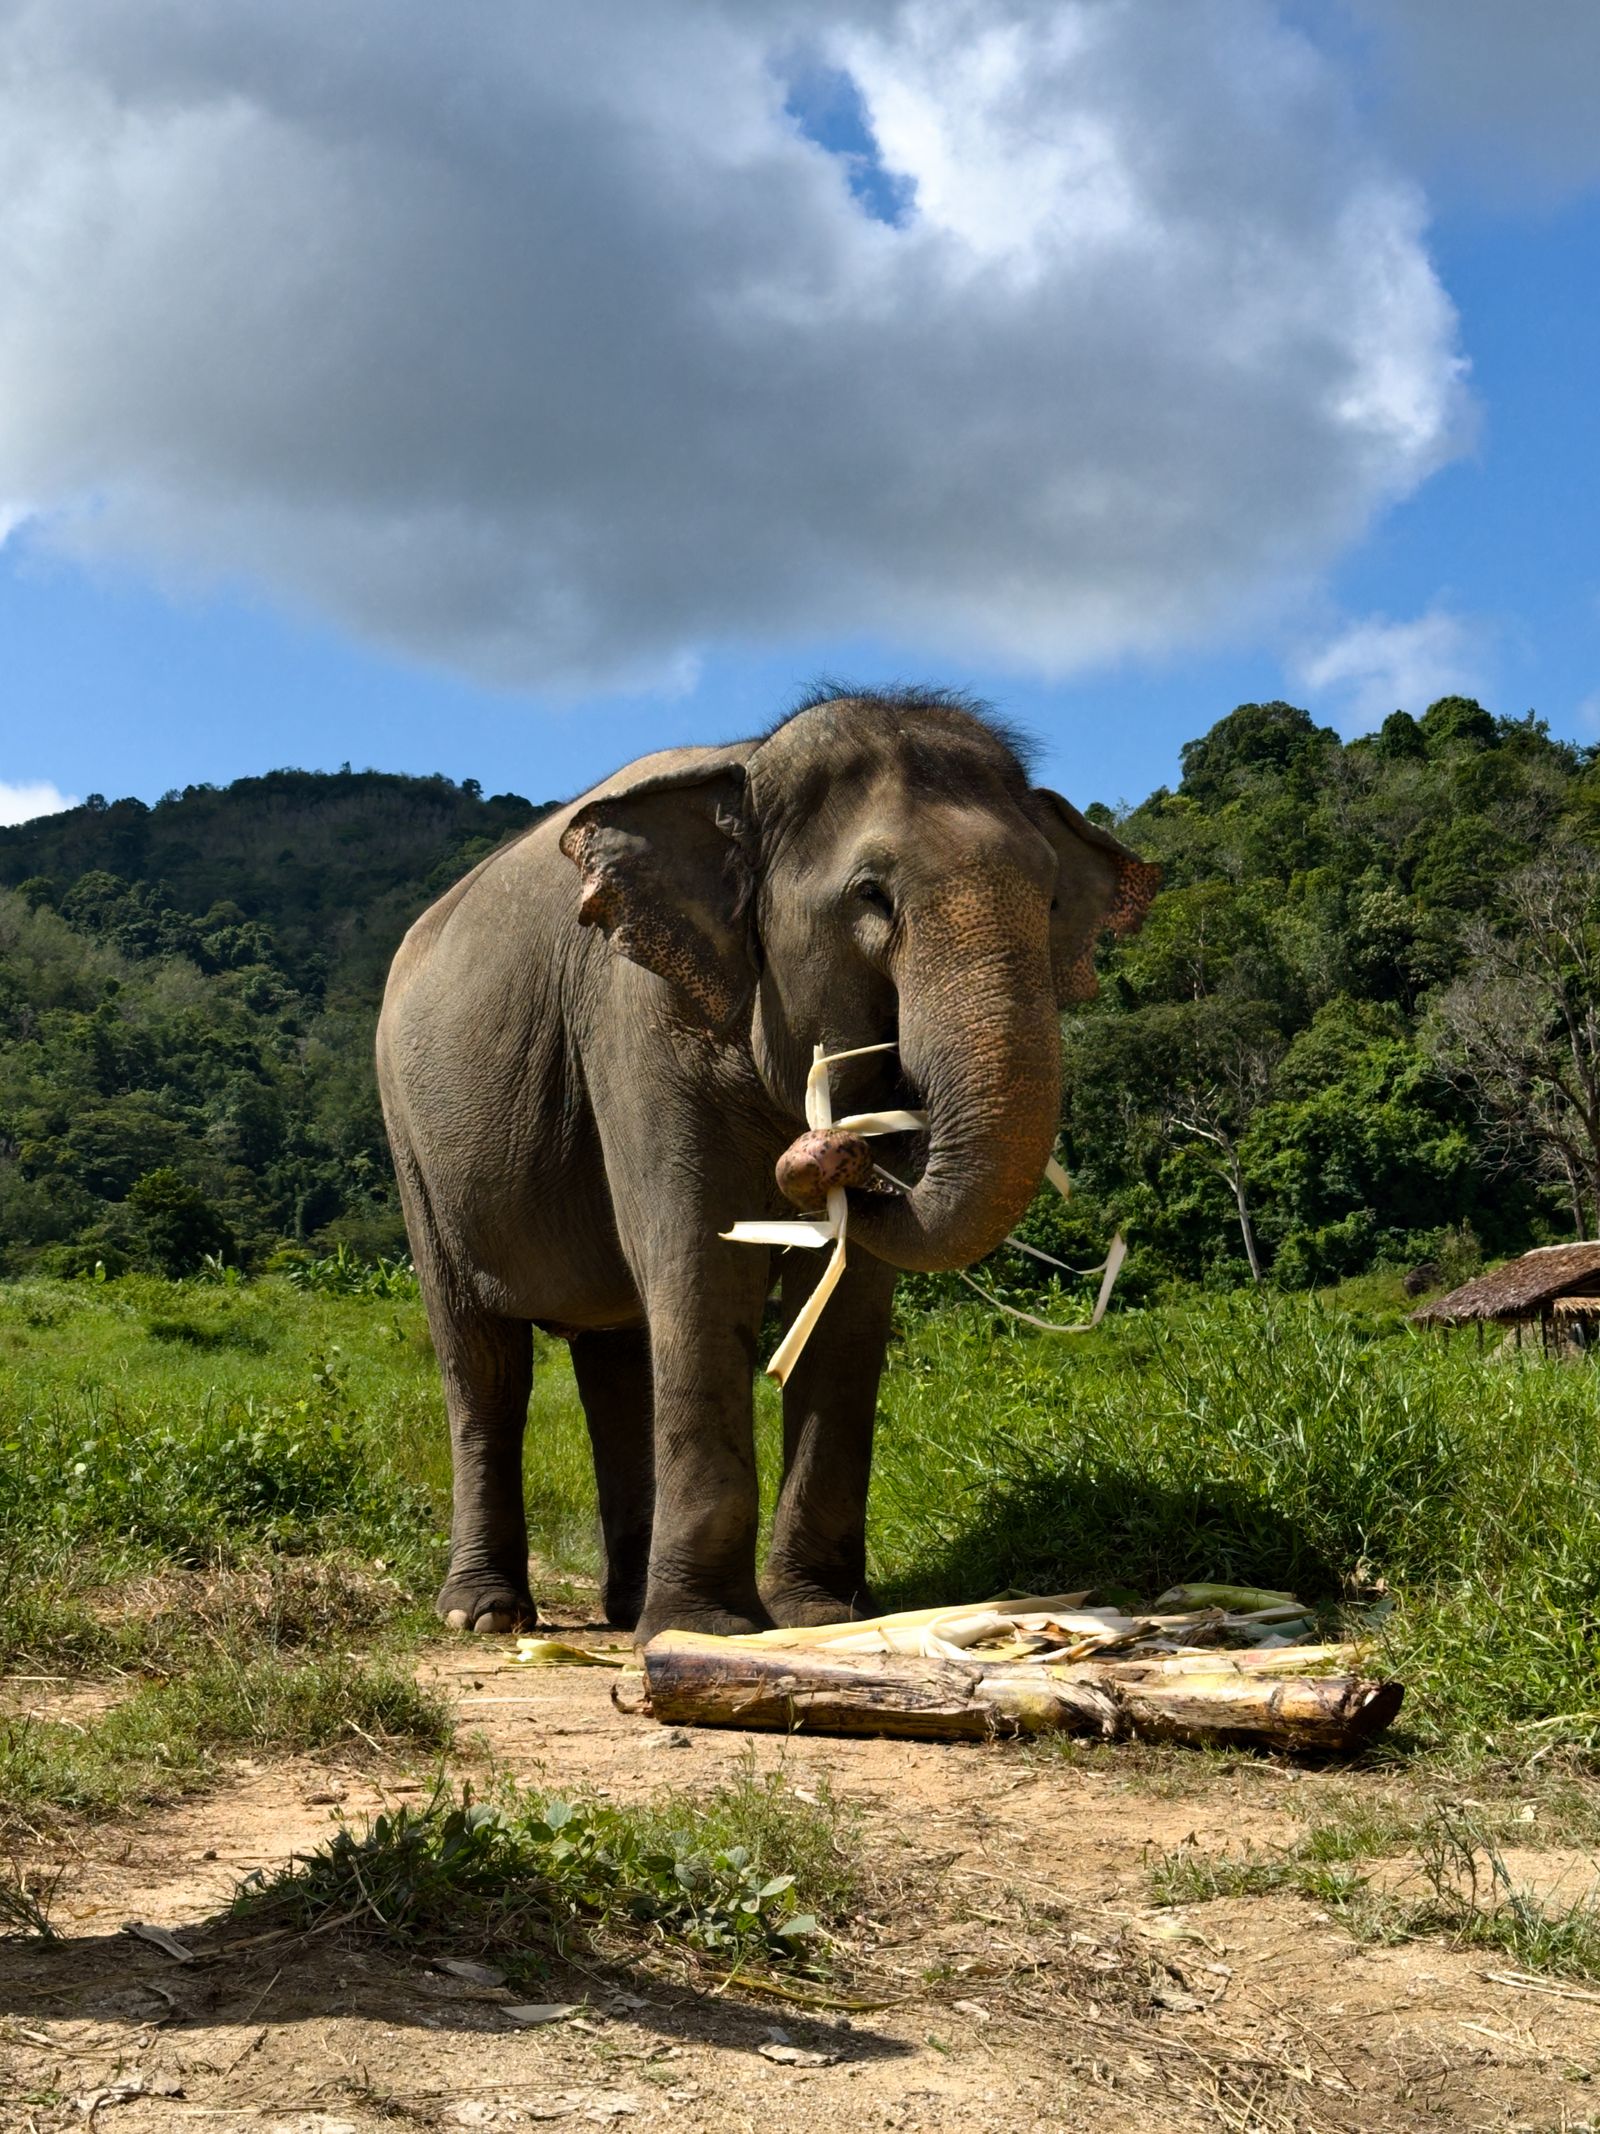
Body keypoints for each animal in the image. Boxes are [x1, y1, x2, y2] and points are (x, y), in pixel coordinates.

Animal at [376, 688, 1156, 1643]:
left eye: (1050, 902)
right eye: (870, 896)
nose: (831, 1148)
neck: (746, 768)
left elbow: (849, 1304)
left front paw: (818, 1614)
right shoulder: (637, 1019)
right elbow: (702, 1267)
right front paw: (708, 1632)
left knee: (617, 1358)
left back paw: (627, 1608)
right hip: (412, 1142)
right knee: (483, 1363)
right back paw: (487, 1617)